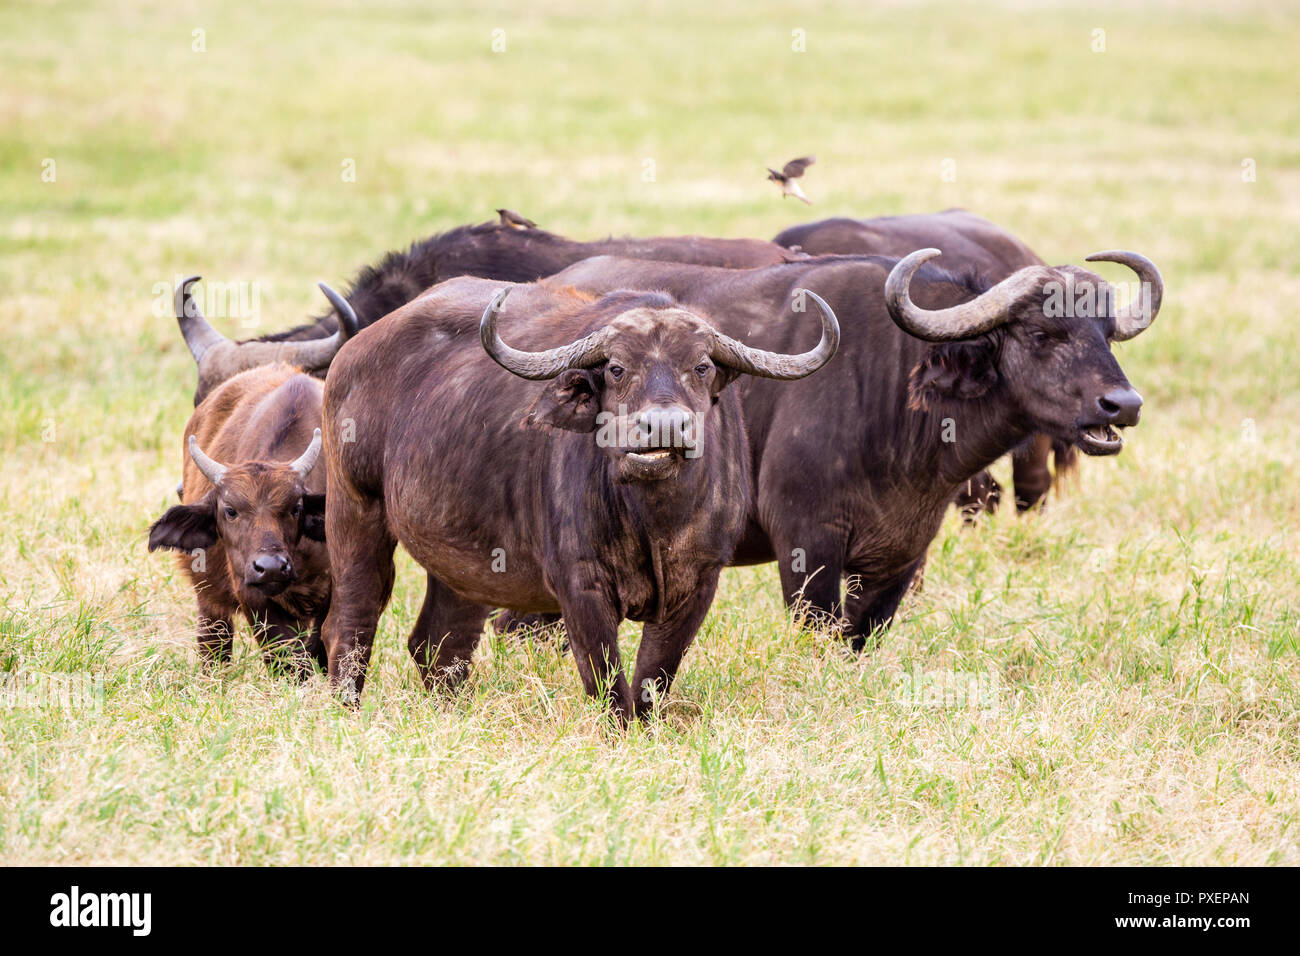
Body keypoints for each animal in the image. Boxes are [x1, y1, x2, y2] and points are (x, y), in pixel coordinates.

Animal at [319, 278, 839, 719]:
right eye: (617, 368)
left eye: (701, 366)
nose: (663, 427)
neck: (652, 520)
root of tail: (353, 351)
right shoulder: (580, 583)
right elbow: (607, 682)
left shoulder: (699, 582)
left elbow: (652, 679)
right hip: (353, 509)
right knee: (352, 621)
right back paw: (347, 708)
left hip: (462, 560)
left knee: (438, 644)